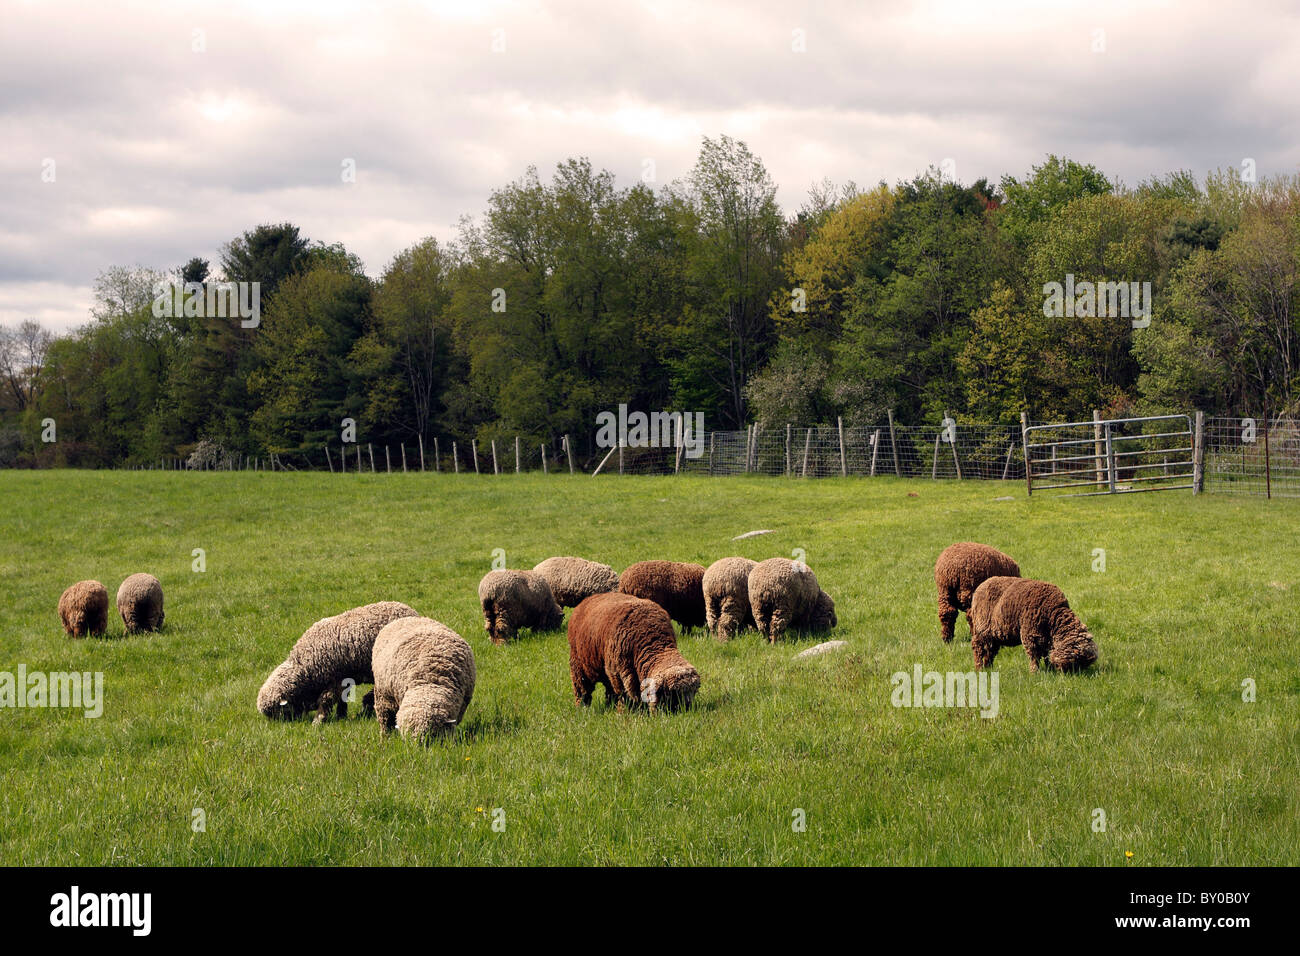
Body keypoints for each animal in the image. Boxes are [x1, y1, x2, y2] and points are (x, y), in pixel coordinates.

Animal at [257, 601, 418, 723]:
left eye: (279, 712)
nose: (288, 724)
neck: (305, 667)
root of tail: (409, 609)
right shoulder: (343, 679)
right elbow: (342, 699)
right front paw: (341, 715)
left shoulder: (335, 680)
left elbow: (326, 700)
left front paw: (318, 720)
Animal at [567, 592, 700, 713]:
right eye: (674, 693)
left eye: (694, 691)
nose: (688, 710)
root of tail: (589, 599)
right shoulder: (618, 672)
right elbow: (623, 694)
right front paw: (624, 711)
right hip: (578, 664)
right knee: (582, 688)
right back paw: (582, 708)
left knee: (608, 689)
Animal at [969, 577, 1098, 673]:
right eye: (1075, 665)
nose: (1076, 676)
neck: (1053, 613)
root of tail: (982, 585)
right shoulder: (1030, 635)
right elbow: (1034, 656)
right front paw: (1034, 672)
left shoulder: (1045, 638)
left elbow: (1046, 655)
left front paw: (1049, 669)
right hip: (981, 629)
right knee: (978, 648)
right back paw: (979, 668)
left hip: (993, 635)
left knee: (990, 651)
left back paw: (988, 668)